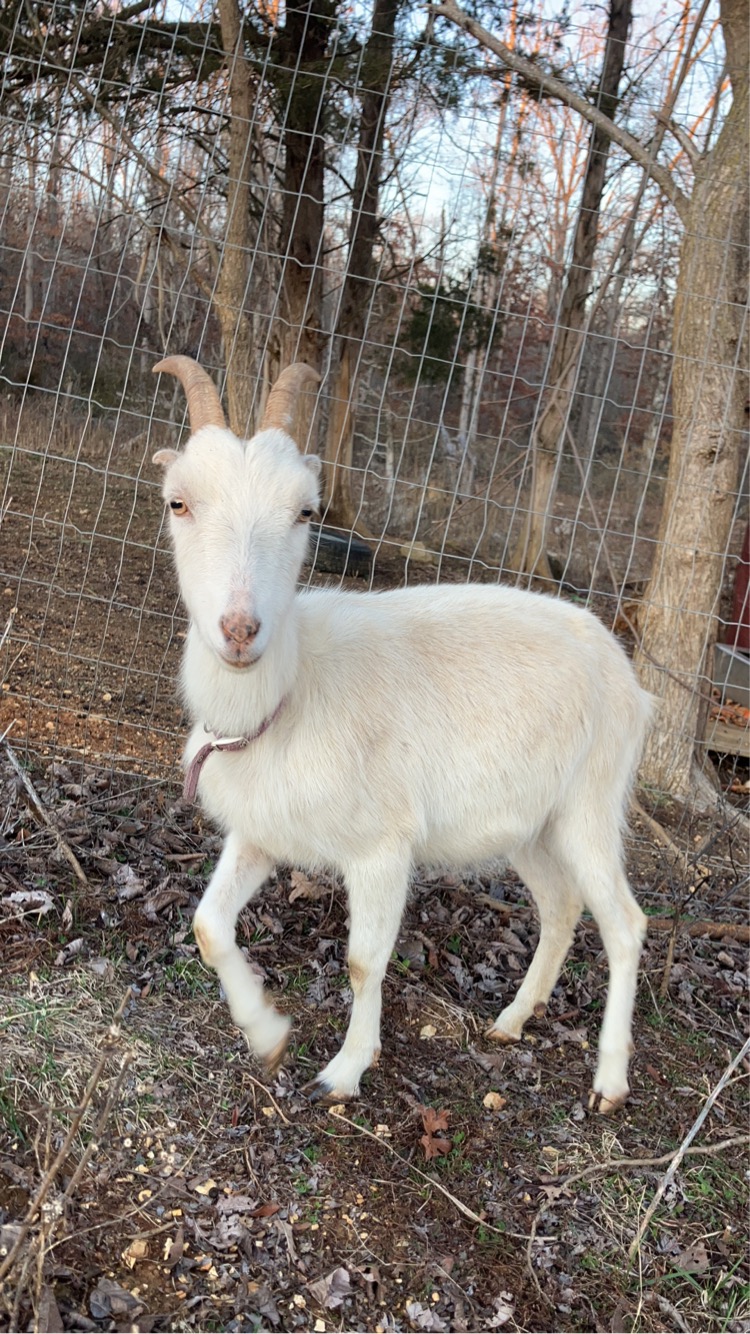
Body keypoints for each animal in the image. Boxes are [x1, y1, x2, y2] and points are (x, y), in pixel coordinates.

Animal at [152, 355, 652, 1113]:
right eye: (178, 502)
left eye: (305, 511)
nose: (240, 630)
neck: (293, 695)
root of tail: (625, 671)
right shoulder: (261, 831)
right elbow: (209, 927)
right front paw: (268, 1034)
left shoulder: (381, 848)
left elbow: (363, 962)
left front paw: (343, 1071)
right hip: (532, 826)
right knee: (562, 906)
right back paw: (512, 1020)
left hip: (591, 803)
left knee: (624, 923)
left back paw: (611, 1081)